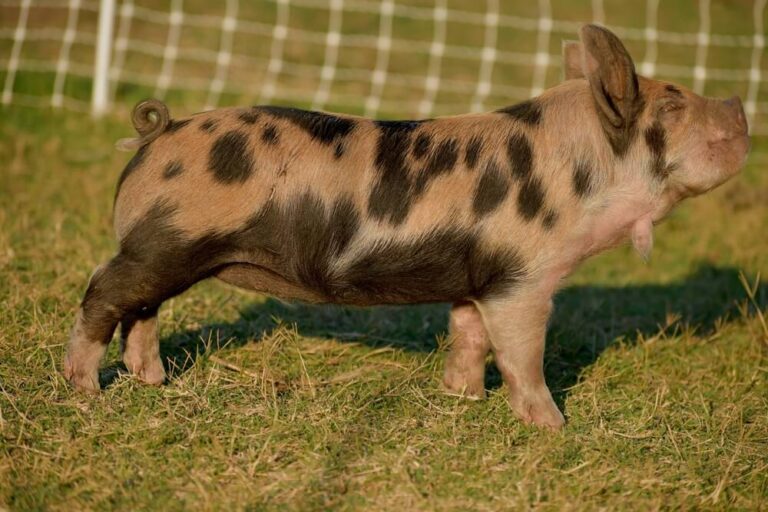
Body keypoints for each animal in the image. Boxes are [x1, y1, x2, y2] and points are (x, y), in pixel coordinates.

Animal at [63, 24, 749, 429]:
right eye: (673, 103)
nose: (741, 103)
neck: (581, 174)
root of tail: (158, 134)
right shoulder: (522, 277)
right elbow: (523, 352)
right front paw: (553, 427)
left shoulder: (476, 277)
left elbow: (468, 334)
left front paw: (462, 398)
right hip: (163, 242)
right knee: (102, 292)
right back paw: (87, 391)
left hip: (172, 251)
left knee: (142, 309)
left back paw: (153, 383)